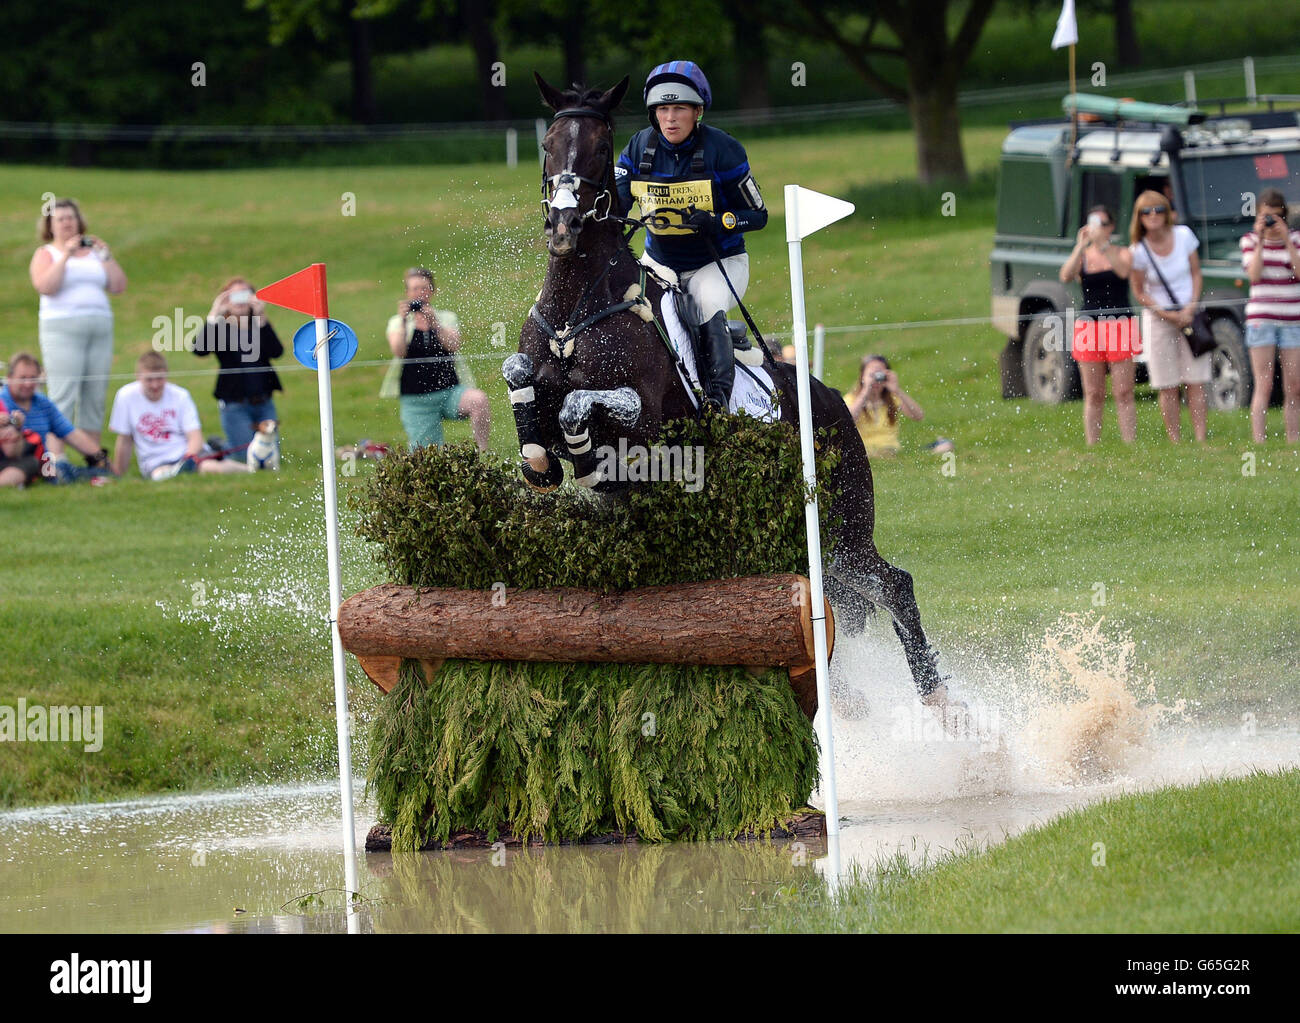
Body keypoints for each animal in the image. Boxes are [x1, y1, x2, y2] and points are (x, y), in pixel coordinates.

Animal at [501, 73, 947, 706]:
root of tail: (832, 398)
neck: (578, 306)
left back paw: (938, 699)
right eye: (548, 144)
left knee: (893, 585)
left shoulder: (644, 425)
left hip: (840, 529)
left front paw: (584, 457)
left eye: (599, 145)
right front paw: (541, 461)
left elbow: (582, 405)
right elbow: (521, 381)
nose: (563, 230)